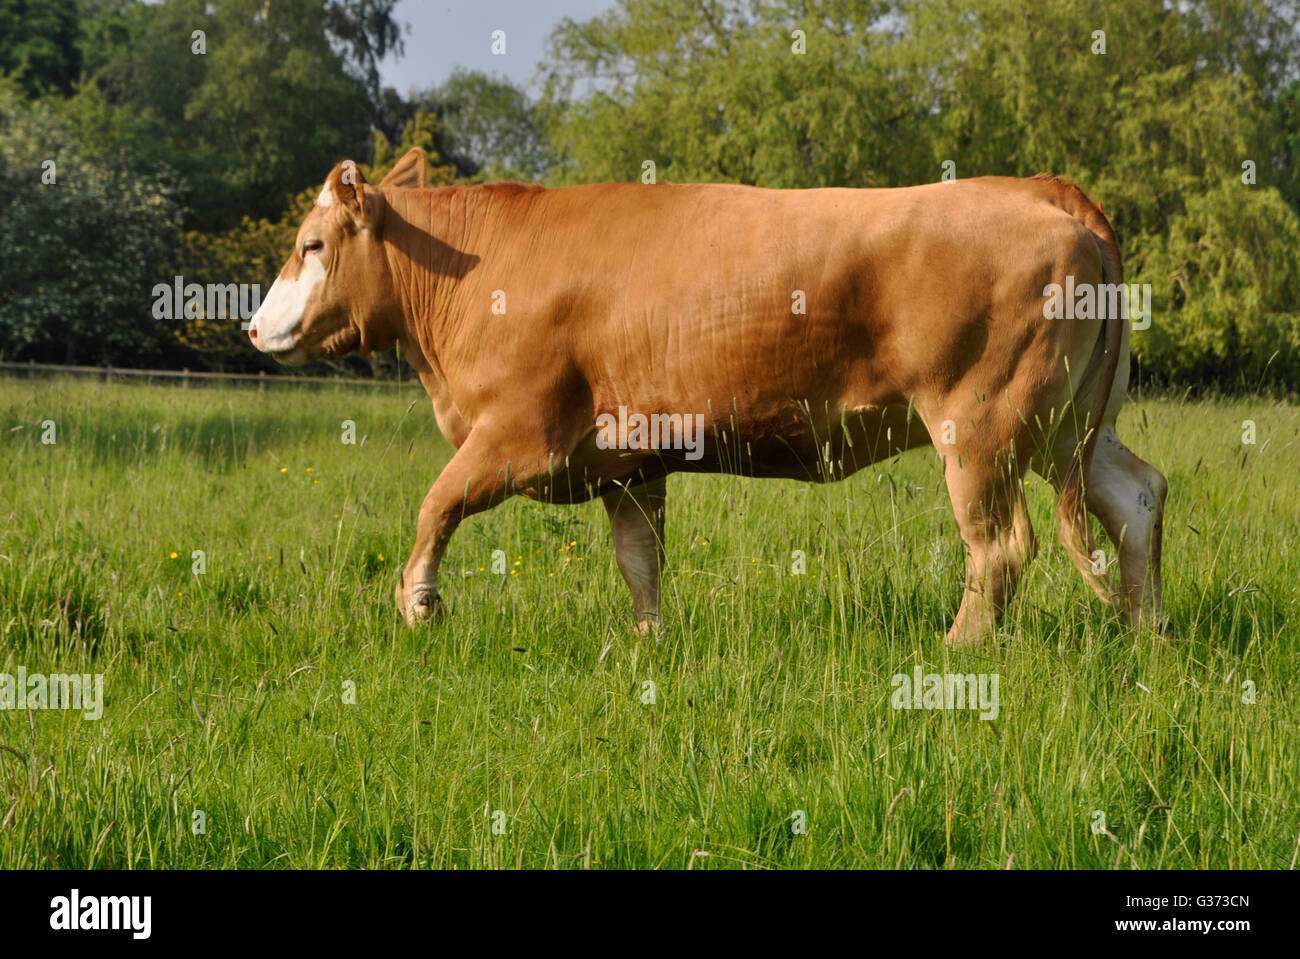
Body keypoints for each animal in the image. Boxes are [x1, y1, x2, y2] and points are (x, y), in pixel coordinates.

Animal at [248, 148, 1169, 645]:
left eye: (312, 243)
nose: (254, 327)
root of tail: (1037, 186)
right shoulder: (626, 461)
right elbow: (639, 557)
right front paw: (650, 642)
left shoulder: (516, 433)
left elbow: (434, 505)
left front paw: (419, 604)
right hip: (1066, 426)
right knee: (1136, 496)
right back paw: (1146, 629)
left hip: (982, 425)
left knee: (1002, 545)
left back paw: (958, 646)